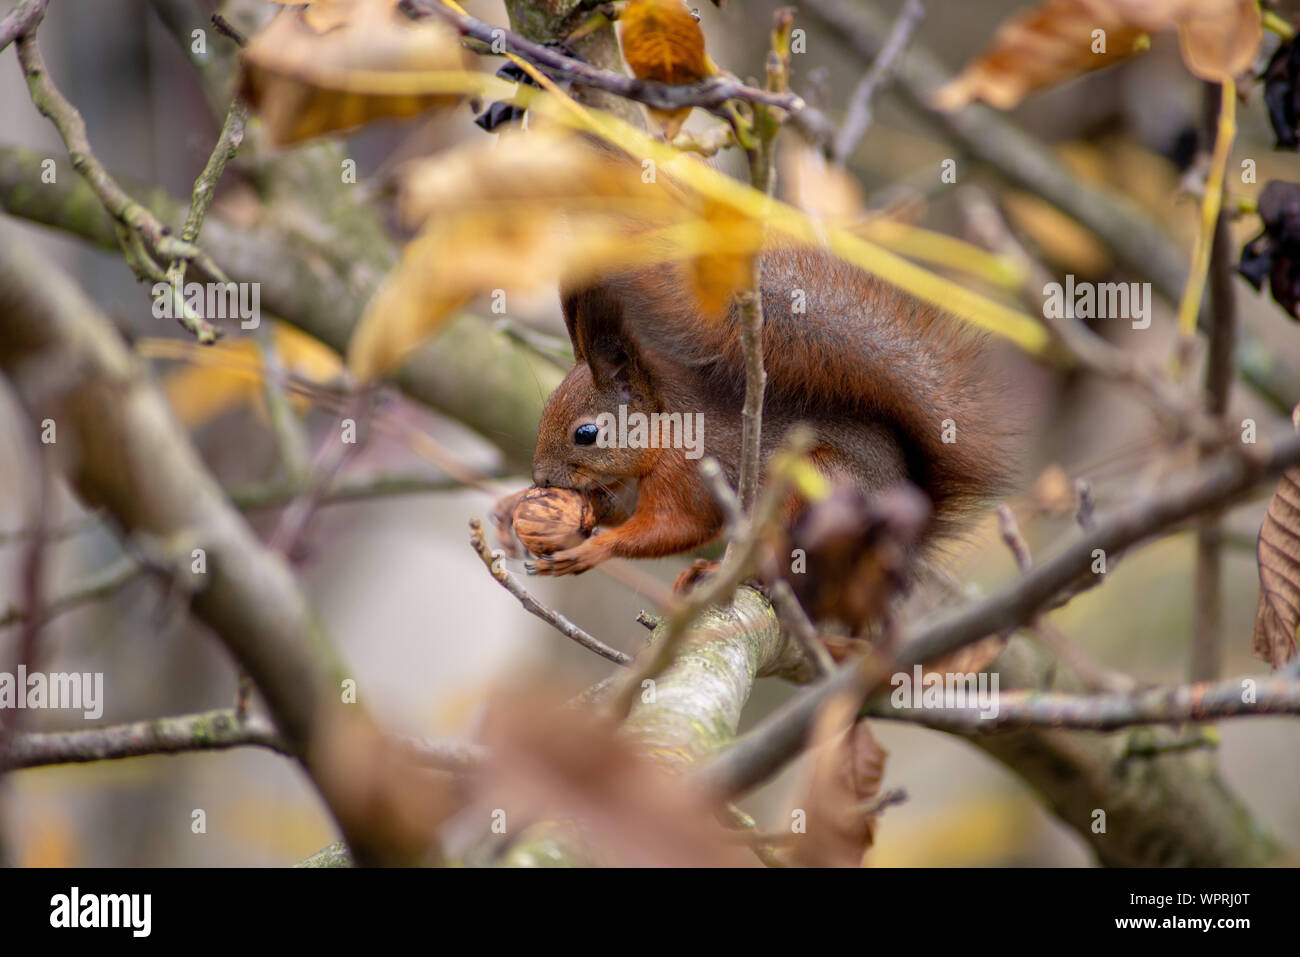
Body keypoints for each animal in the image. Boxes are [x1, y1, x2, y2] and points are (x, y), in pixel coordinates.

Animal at [492, 242, 1014, 577]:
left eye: (586, 434)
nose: (540, 478)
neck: (668, 430)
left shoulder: (688, 476)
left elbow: (674, 527)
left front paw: (595, 550)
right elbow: (616, 508)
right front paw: (519, 505)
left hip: (820, 486)